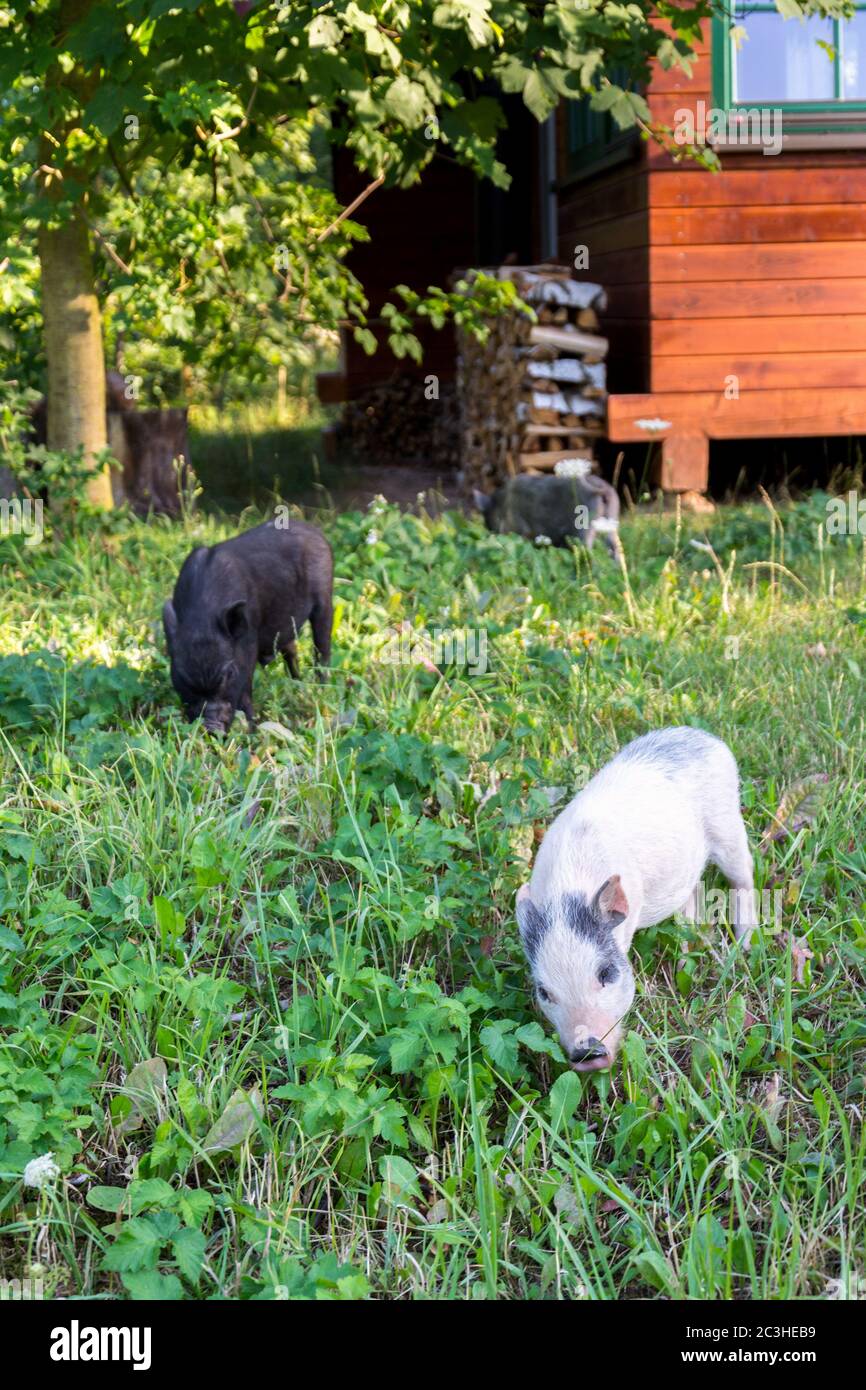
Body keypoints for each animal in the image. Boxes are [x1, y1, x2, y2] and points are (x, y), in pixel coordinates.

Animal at [162, 518, 333, 733]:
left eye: (229, 673)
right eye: (181, 675)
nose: (211, 727)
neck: (203, 615)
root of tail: (314, 531)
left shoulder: (249, 642)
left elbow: (245, 690)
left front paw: (252, 729)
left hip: (325, 596)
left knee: (322, 648)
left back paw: (322, 689)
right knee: (291, 650)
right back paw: (297, 682)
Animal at [473, 469, 620, 556]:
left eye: (488, 523)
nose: (491, 534)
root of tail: (601, 488)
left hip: (583, 529)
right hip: (611, 523)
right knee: (615, 548)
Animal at [516, 727, 756, 1072]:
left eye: (605, 973)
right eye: (544, 992)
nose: (587, 1054)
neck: (567, 893)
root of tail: (703, 736)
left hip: (727, 823)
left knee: (745, 872)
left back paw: (743, 947)